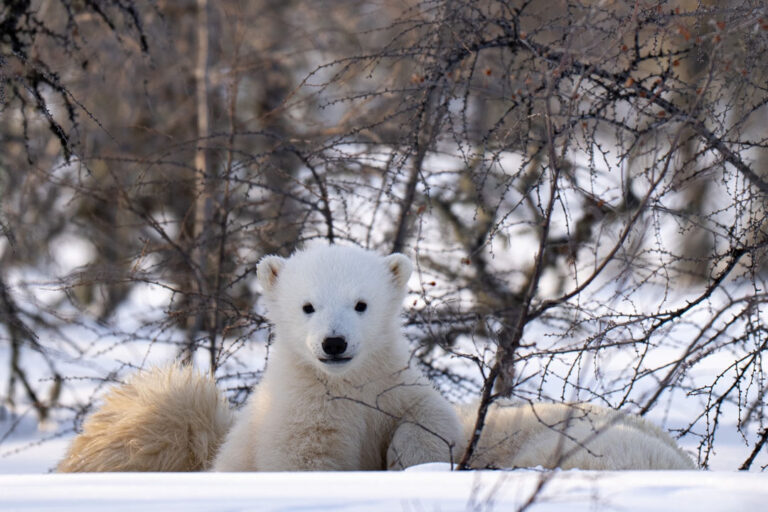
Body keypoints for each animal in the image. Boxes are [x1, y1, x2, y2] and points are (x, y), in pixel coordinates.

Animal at [57, 245, 694, 472]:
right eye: (308, 307)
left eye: (362, 305)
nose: (334, 343)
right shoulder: (304, 416)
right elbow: (306, 461)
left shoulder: (398, 388)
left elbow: (426, 418)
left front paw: (406, 461)